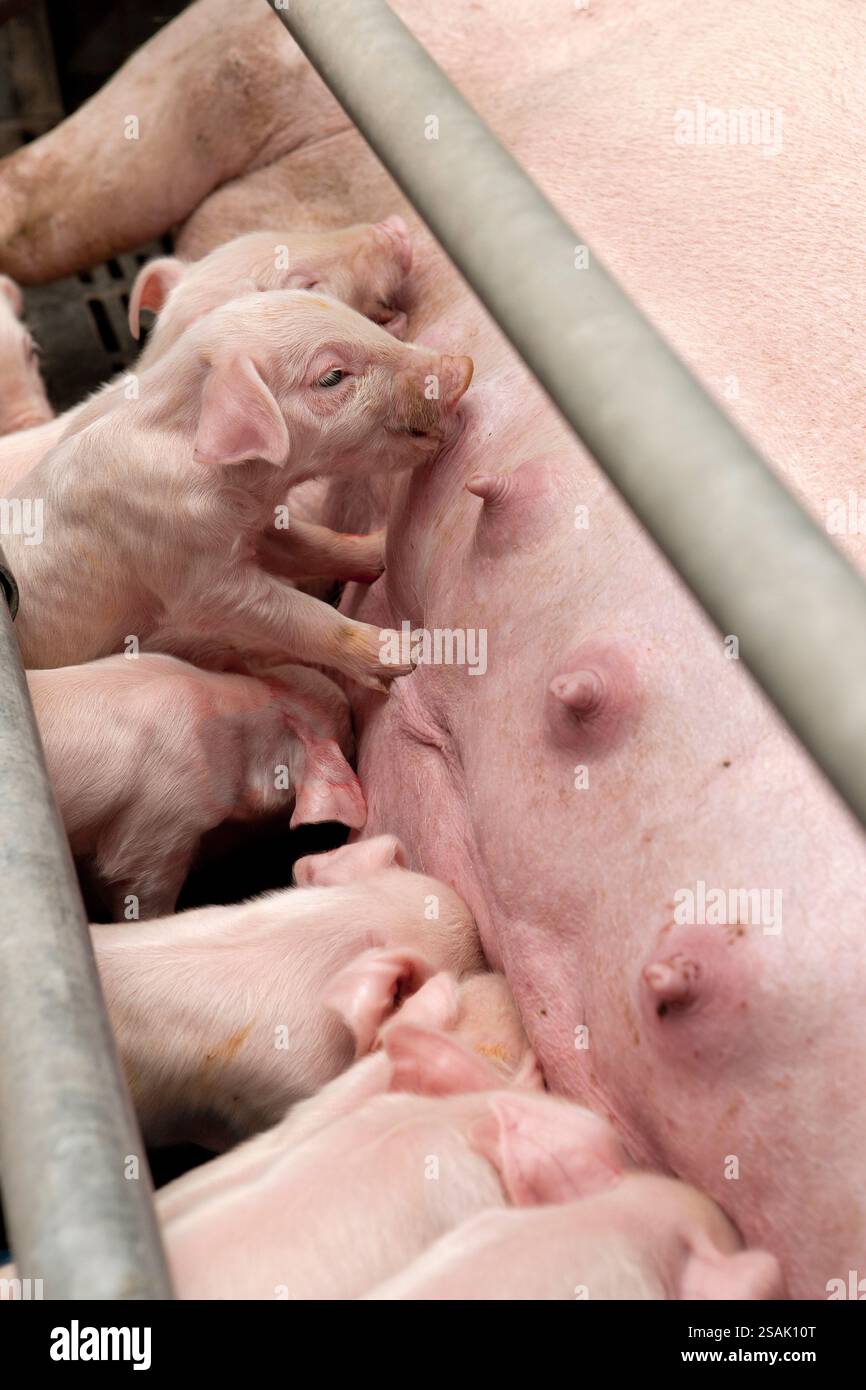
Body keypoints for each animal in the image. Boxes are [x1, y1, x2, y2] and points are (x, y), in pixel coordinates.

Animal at [4, 290, 472, 689]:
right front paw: (410, 653)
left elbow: (315, 543)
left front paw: (380, 549)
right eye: (332, 377)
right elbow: (297, 614)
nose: (462, 367)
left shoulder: (255, 527)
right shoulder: (191, 572)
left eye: (361, 320)